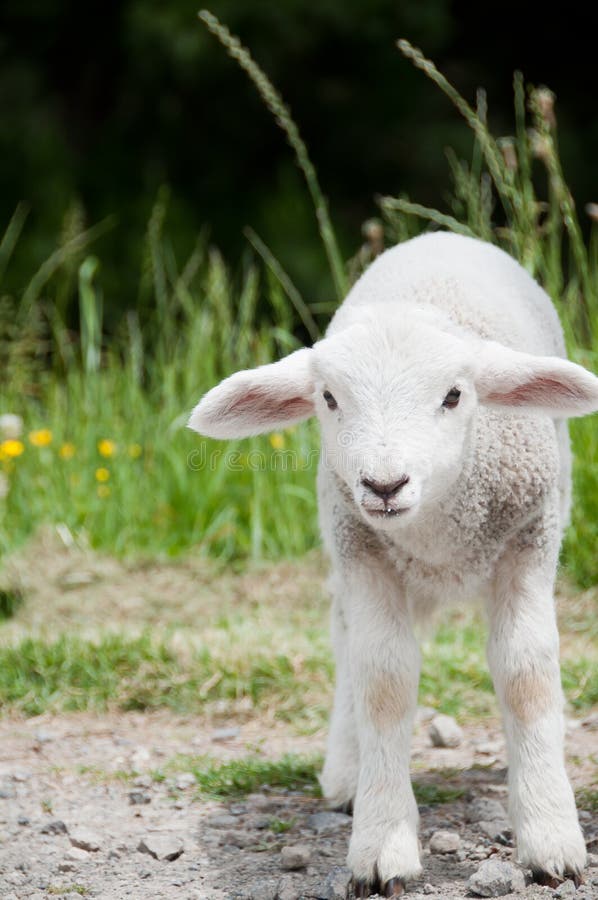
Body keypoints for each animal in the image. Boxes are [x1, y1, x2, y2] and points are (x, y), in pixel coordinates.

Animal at [188, 231, 598, 896]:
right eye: (329, 398)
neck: (435, 531)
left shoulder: (529, 540)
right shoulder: (364, 551)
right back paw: (347, 771)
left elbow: (526, 674)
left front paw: (550, 839)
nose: (384, 484)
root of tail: (439, 236)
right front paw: (383, 845)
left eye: (454, 395)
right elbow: (382, 679)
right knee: (346, 641)